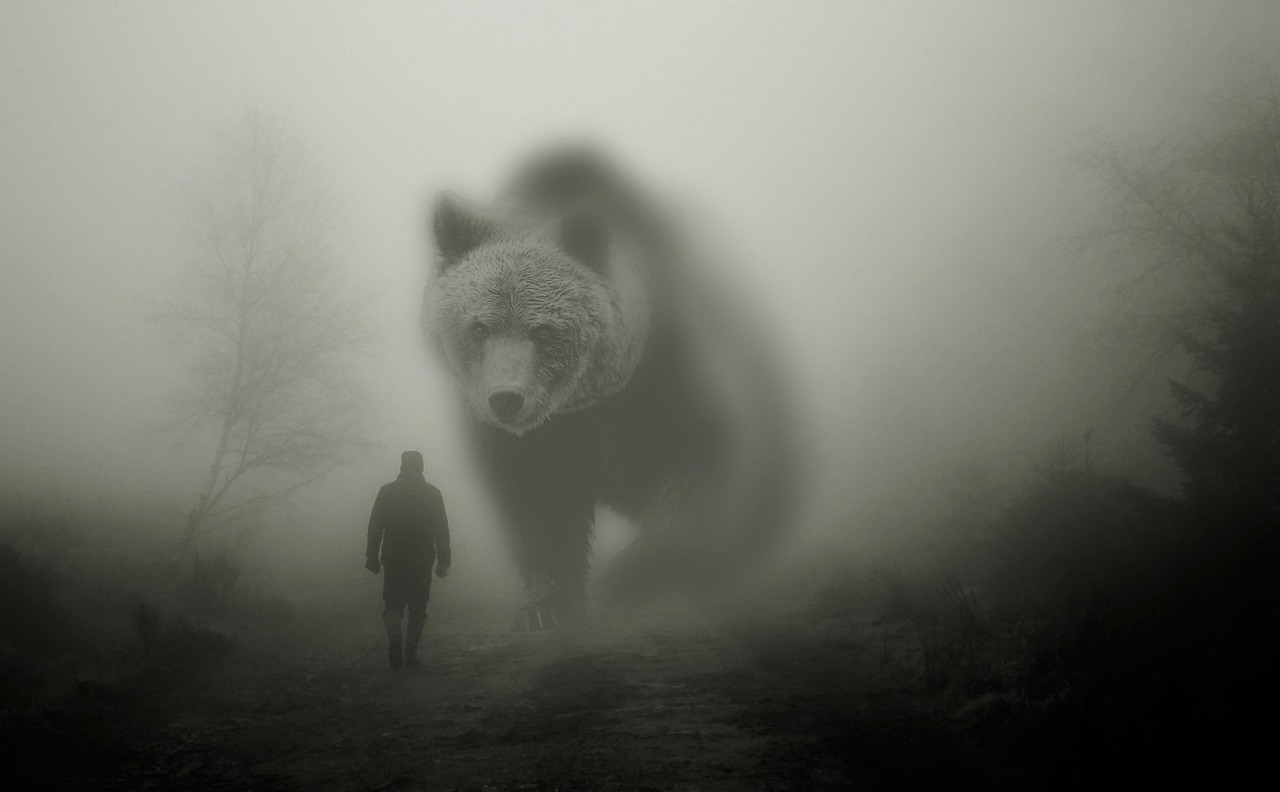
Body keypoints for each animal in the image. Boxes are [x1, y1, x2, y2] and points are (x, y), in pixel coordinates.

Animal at [422, 147, 793, 626]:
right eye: (480, 326)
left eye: (543, 330)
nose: (506, 399)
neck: (585, 403)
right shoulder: (531, 439)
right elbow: (538, 505)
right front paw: (546, 605)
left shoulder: (664, 380)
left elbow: (697, 473)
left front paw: (627, 576)